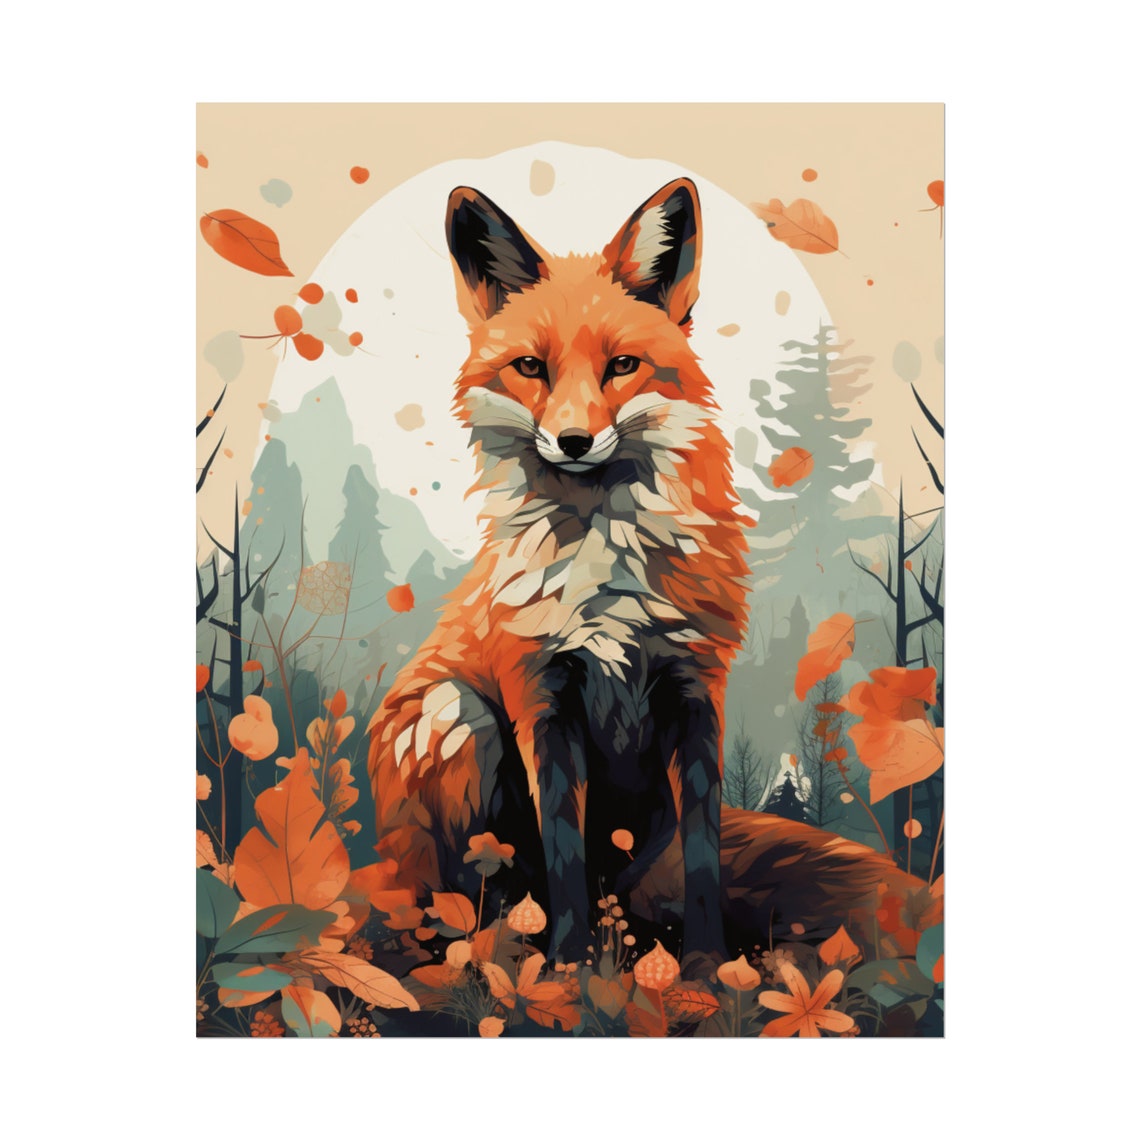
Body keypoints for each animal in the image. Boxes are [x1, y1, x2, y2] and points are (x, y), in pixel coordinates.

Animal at [367, 177, 751, 964]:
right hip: (455, 717)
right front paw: (571, 969)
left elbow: (703, 854)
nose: (574, 440)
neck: (608, 582)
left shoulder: (698, 692)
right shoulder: (542, 701)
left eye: (622, 366)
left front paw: (707, 965)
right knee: (472, 899)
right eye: (531, 367)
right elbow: (564, 853)